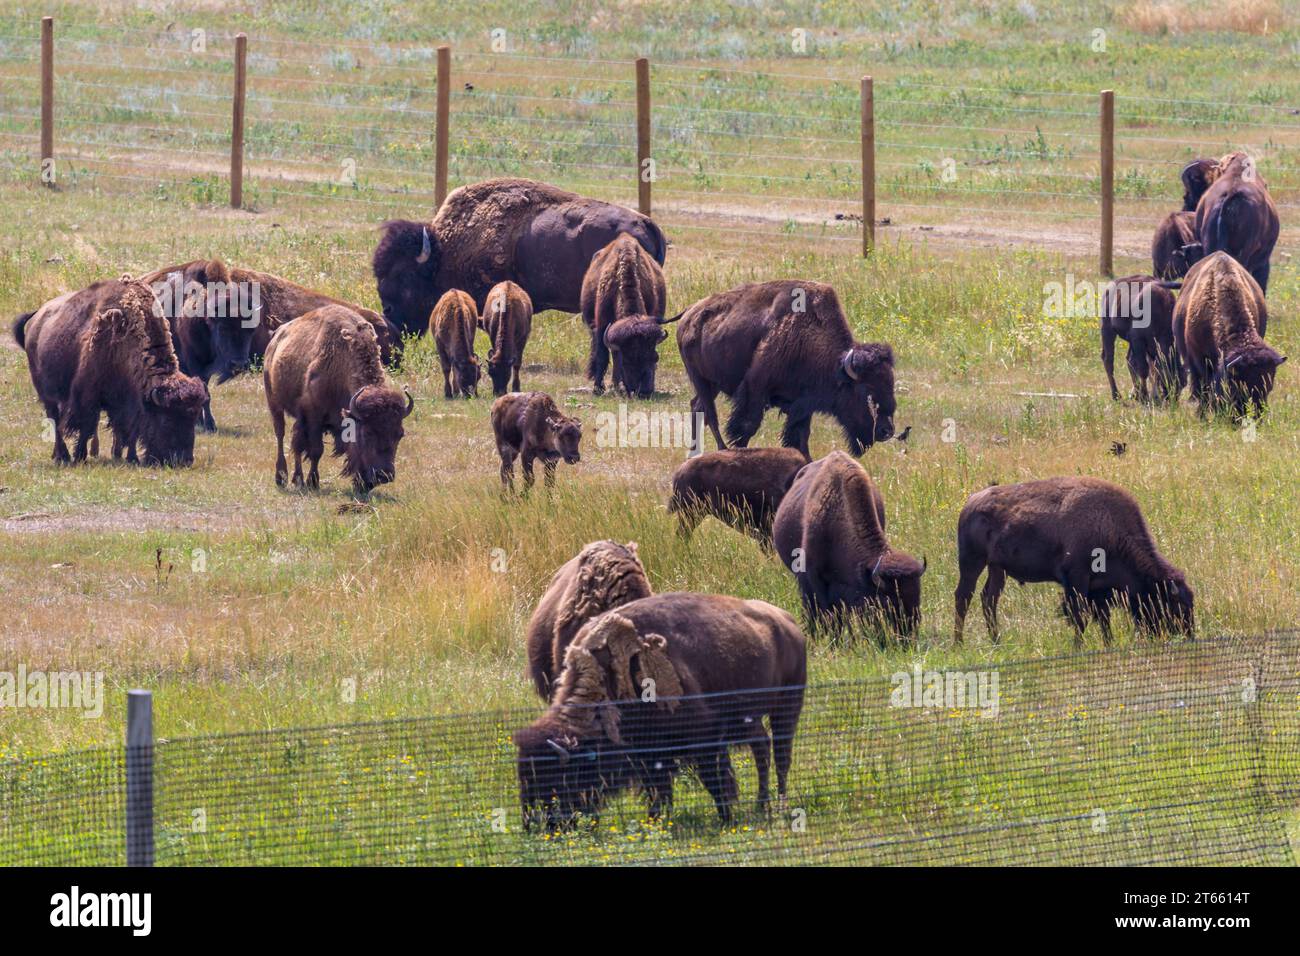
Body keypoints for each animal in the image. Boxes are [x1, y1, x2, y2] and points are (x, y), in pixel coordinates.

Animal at [263, 304, 413, 494]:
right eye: (367, 433)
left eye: (400, 434)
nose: (384, 476)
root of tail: (276, 337)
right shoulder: (314, 416)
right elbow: (316, 450)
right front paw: (313, 482)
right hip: (274, 403)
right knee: (281, 434)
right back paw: (282, 478)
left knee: (296, 444)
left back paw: (297, 479)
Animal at [513, 593, 807, 829]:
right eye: (524, 778)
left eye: (558, 779)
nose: (539, 826)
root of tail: (787, 621)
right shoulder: (648, 754)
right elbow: (657, 790)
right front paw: (656, 821)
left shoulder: (704, 738)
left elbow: (714, 780)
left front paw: (726, 818)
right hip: (751, 719)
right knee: (762, 748)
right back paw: (761, 805)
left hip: (787, 707)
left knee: (781, 756)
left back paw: (778, 805)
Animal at [677, 280, 897, 458]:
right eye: (866, 390)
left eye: (890, 384)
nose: (887, 431)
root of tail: (689, 313)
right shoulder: (756, 390)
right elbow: (746, 428)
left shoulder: (803, 403)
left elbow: (800, 437)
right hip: (700, 379)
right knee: (709, 414)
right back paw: (719, 450)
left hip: (712, 383)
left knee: (697, 407)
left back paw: (694, 454)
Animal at [954, 477, 1194, 646]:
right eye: (1176, 605)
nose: (1189, 636)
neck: (1108, 525)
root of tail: (971, 502)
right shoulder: (1077, 580)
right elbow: (1080, 617)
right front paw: (1078, 647)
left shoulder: (1099, 590)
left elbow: (1103, 619)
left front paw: (1108, 644)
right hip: (972, 561)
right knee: (963, 597)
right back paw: (959, 644)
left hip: (997, 568)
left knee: (988, 599)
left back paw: (996, 641)